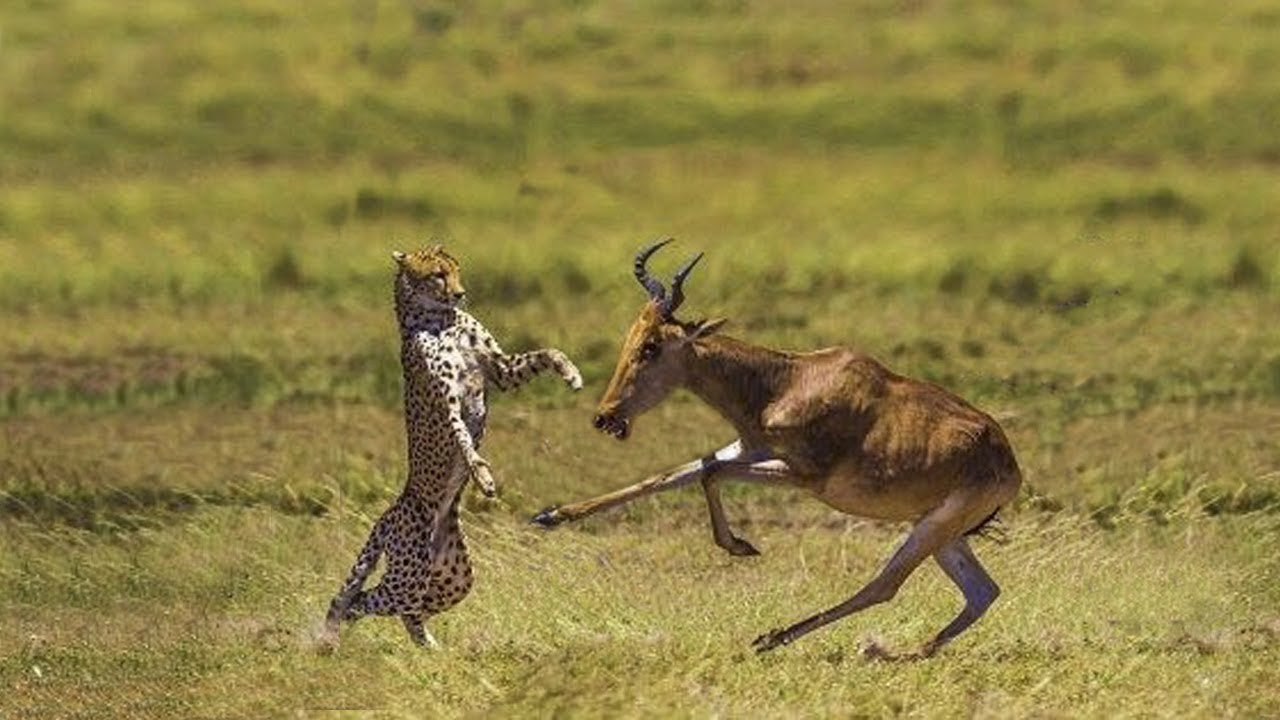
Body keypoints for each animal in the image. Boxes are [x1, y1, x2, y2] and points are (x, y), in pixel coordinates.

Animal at [321, 245, 582, 648]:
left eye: (456, 270)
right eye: (437, 275)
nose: (460, 293)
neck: (438, 316)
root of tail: (391, 510)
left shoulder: (501, 371)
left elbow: (547, 352)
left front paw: (571, 372)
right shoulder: (448, 401)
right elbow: (462, 437)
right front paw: (483, 476)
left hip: (453, 576)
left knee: (408, 609)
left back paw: (430, 647)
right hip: (408, 574)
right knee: (357, 599)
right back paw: (332, 636)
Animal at [532, 239, 1023, 658]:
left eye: (652, 346)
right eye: (631, 338)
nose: (605, 416)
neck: (787, 381)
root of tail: (1009, 462)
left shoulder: (801, 475)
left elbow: (708, 473)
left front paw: (740, 547)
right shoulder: (747, 448)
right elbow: (675, 473)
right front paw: (551, 515)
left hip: (934, 528)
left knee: (884, 586)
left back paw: (786, 641)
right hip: (943, 532)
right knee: (982, 593)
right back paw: (894, 652)